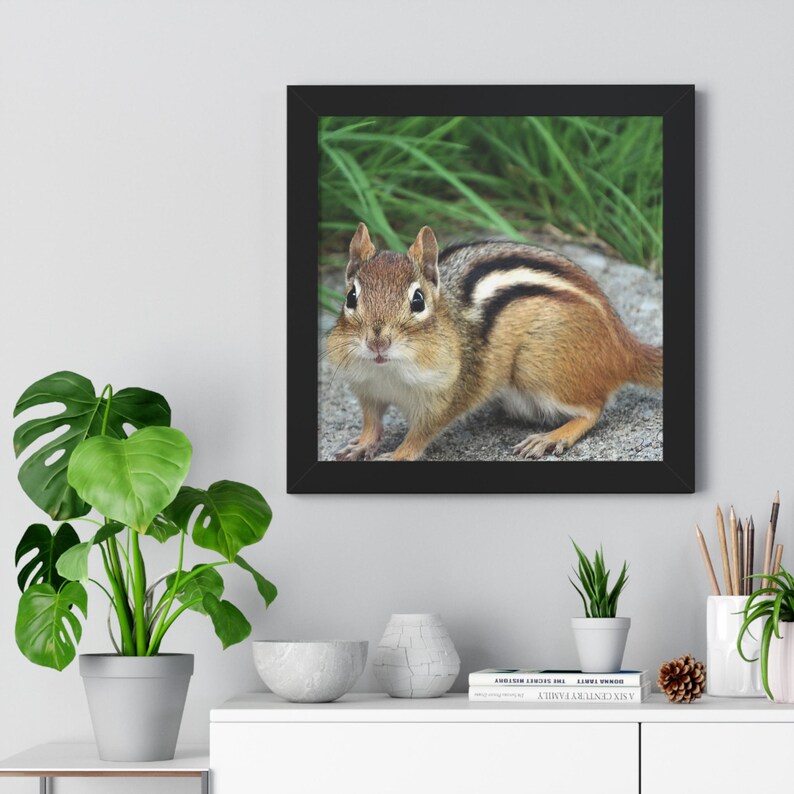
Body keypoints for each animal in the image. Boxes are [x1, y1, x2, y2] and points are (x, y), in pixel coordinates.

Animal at [325, 223, 662, 461]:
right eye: (351, 297)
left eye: (418, 301)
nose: (377, 342)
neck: (388, 372)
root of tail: (623, 345)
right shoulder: (368, 390)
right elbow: (371, 423)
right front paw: (361, 445)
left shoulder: (447, 395)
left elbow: (420, 434)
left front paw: (396, 455)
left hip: (537, 367)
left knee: (594, 408)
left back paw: (551, 437)